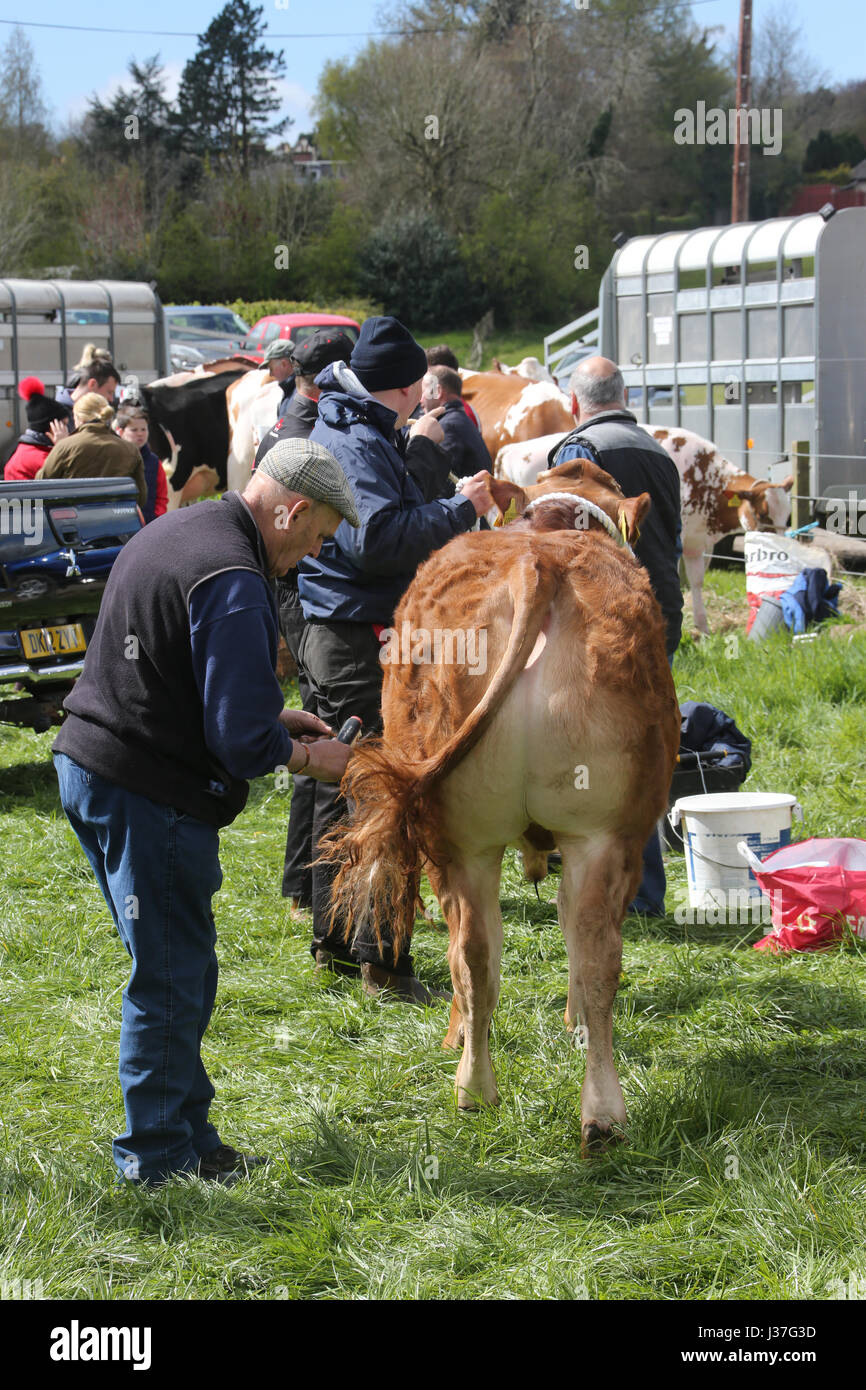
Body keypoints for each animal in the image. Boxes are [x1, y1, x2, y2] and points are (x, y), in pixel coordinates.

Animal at [320, 460, 680, 1153]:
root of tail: (537, 563)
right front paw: (566, 1026)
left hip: (468, 839)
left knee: (478, 955)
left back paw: (479, 1089)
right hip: (595, 834)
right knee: (589, 956)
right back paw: (596, 1110)